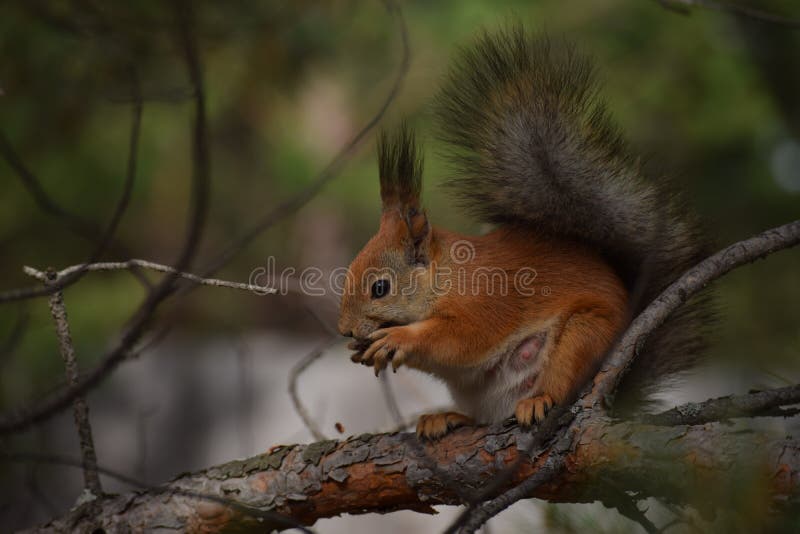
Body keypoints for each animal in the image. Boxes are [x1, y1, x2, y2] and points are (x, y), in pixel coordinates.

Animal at [338, 27, 709, 440]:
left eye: (380, 288)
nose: (344, 330)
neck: (446, 276)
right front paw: (364, 350)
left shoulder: (486, 300)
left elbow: (461, 339)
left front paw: (399, 338)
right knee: (485, 418)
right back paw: (448, 417)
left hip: (583, 338)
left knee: (560, 385)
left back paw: (537, 401)